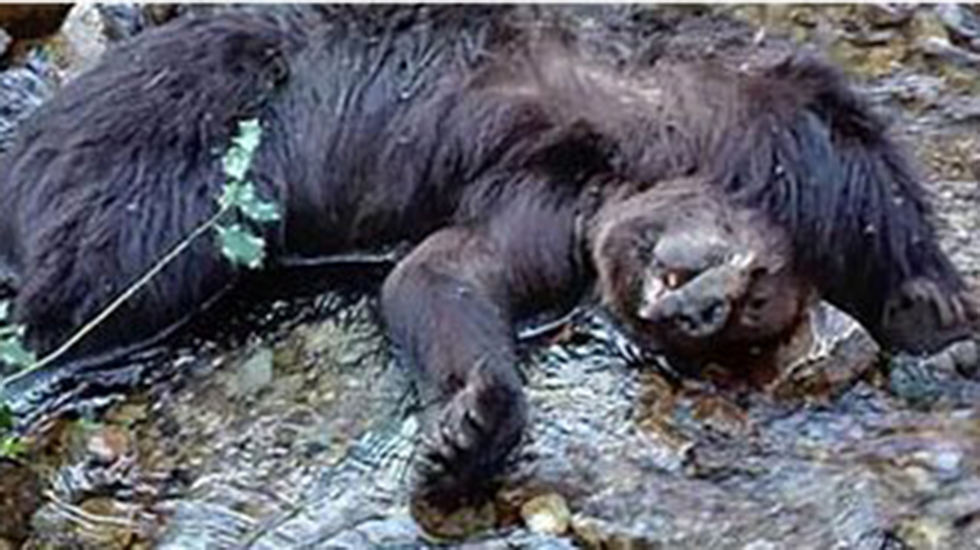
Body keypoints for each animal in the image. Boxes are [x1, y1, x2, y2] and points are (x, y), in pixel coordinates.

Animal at [0, 6, 975, 506]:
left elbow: (441, 272)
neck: (629, 162)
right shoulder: (714, 108)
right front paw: (933, 301)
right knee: (107, 259)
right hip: (177, 150)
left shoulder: (542, 208)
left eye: (745, 316)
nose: (693, 309)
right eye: (756, 288)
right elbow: (853, 163)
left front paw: (466, 429)